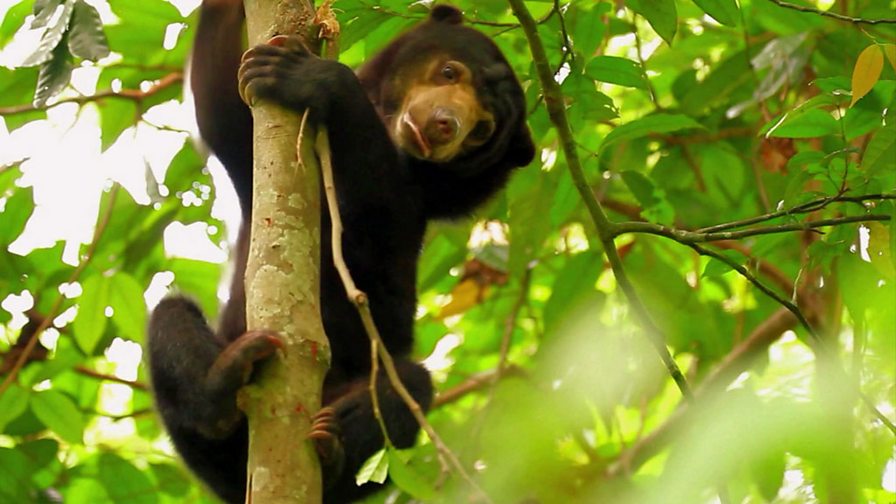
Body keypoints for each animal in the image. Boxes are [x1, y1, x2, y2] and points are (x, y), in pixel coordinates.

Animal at [146, 2, 534, 503]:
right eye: (450, 72)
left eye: (482, 130)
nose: (444, 124)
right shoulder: (248, 153)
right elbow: (217, 112)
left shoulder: (414, 206)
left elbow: (372, 238)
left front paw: (312, 77)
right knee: (170, 319)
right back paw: (223, 384)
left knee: (410, 387)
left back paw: (331, 447)